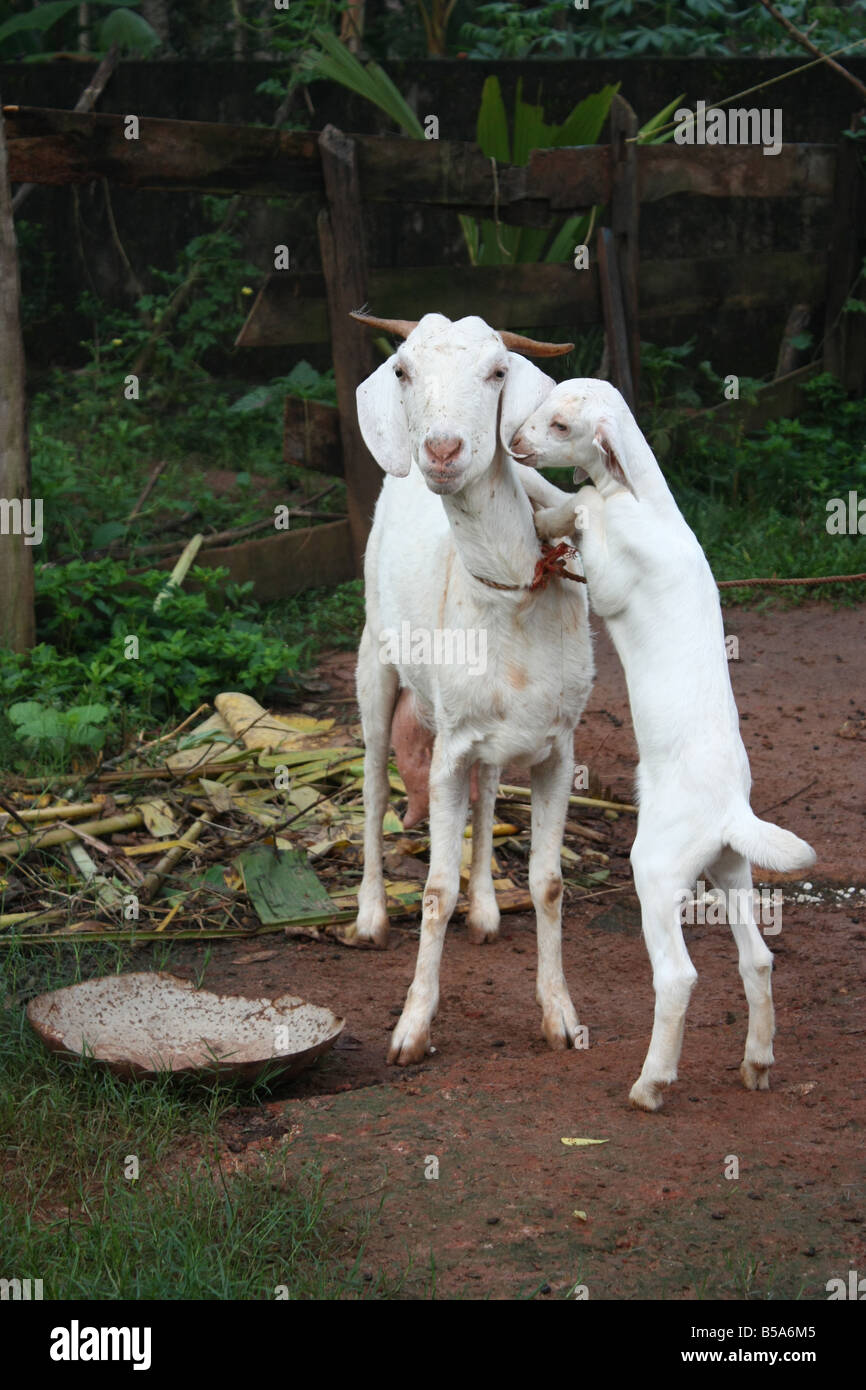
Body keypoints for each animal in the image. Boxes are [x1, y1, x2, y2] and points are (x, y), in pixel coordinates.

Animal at [350, 313, 595, 1066]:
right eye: (402, 369)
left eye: (497, 371)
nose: (442, 449)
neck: (510, 594)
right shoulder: (450, 749)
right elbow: (433, 887)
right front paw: (411, 1028)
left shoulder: (557, 748)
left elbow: (549, 882)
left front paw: (559, 1016)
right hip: (374, 662)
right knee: (373, 783)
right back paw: (369, 915)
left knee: (488, 796)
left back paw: (486, 908)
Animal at [511, 378, 816, 1110]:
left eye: (559, 424)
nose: (513, 442)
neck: (645, 502)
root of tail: (730, 811)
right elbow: (570, 503)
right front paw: (546, 510)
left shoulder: (613, 582)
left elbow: (586, 514)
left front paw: (564, 516)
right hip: (730, 867)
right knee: (757, 957)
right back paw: (757, 1062)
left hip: (654, 869)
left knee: (678, 976)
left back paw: (652, 1084)